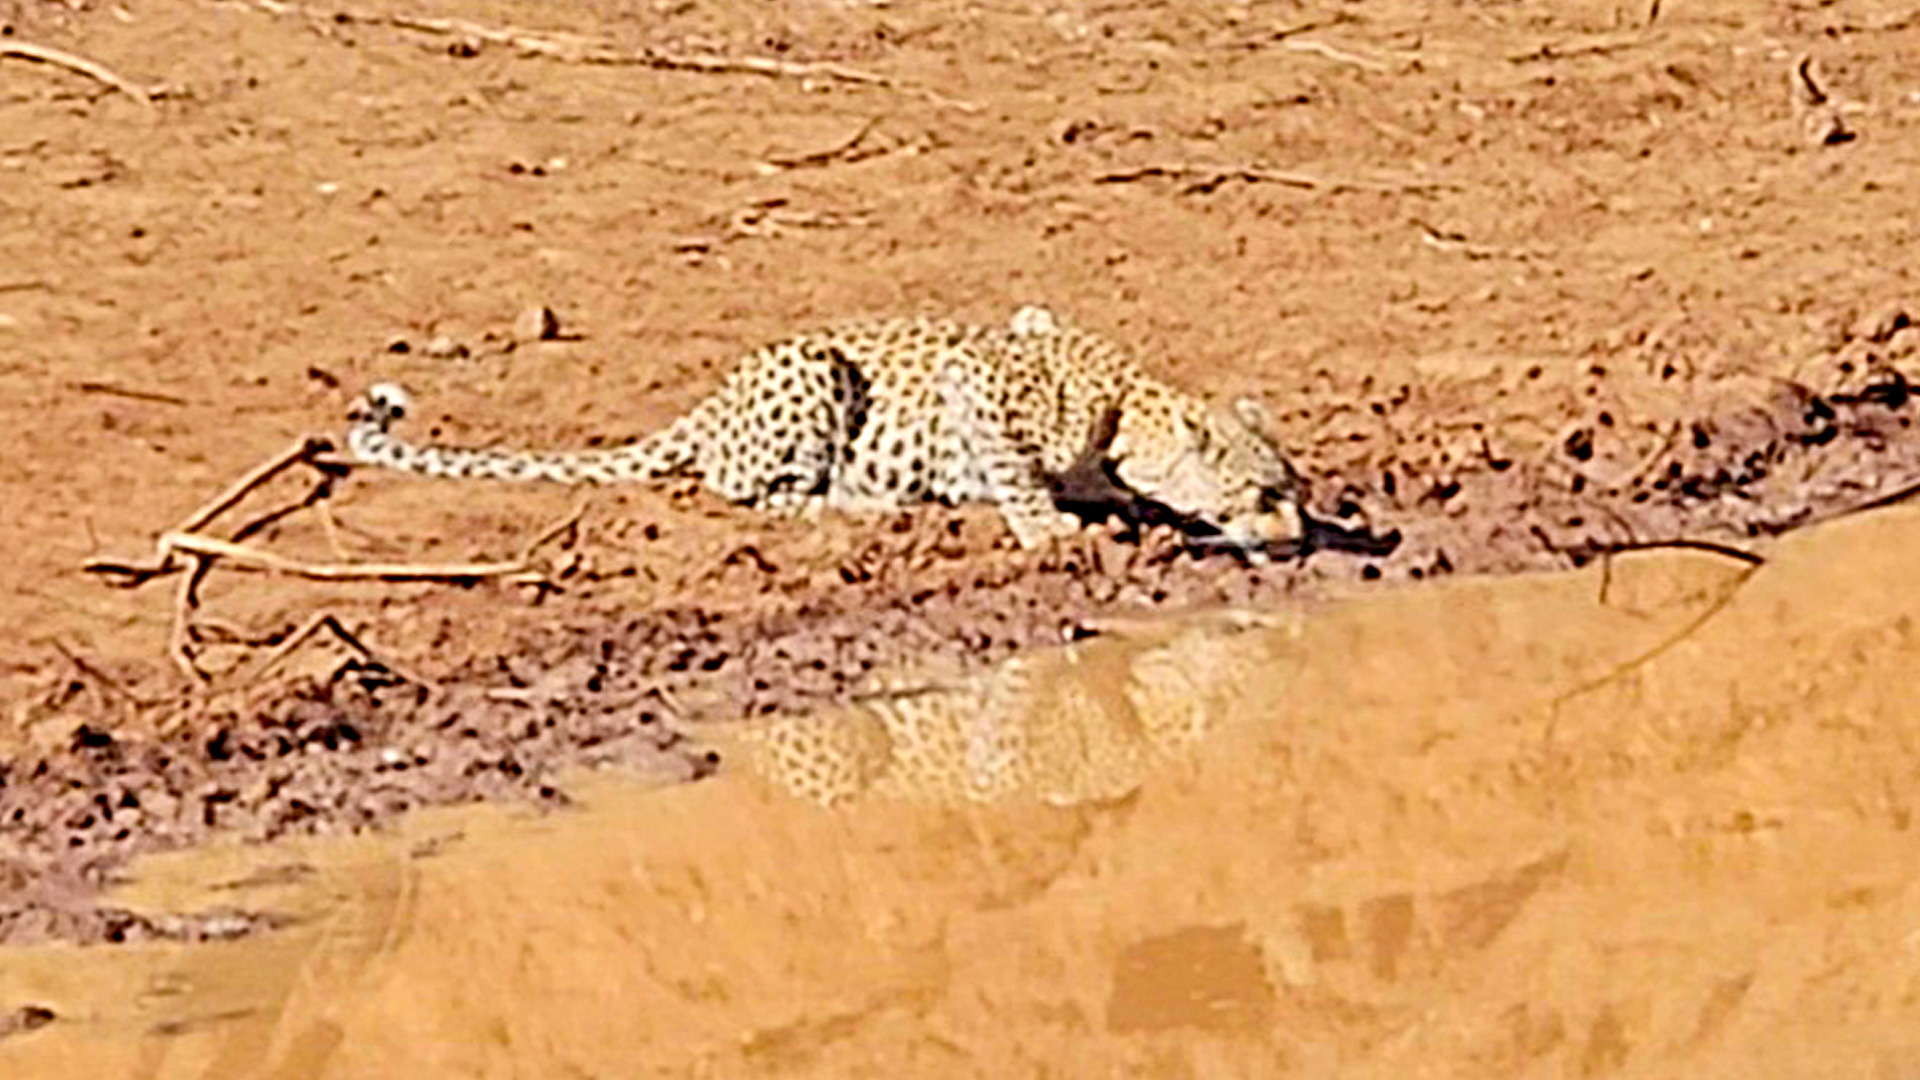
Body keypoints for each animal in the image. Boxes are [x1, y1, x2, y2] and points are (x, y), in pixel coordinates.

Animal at [344, 304, 1306, 554]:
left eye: (1292, 487)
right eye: (1264, 491)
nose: (1298, 534)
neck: (1130, 406)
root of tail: (713, 401)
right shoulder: (976, 381)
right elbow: (1015, 469)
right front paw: (1050, 530)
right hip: (814, 366)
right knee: (753, 492)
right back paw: (862, 507)